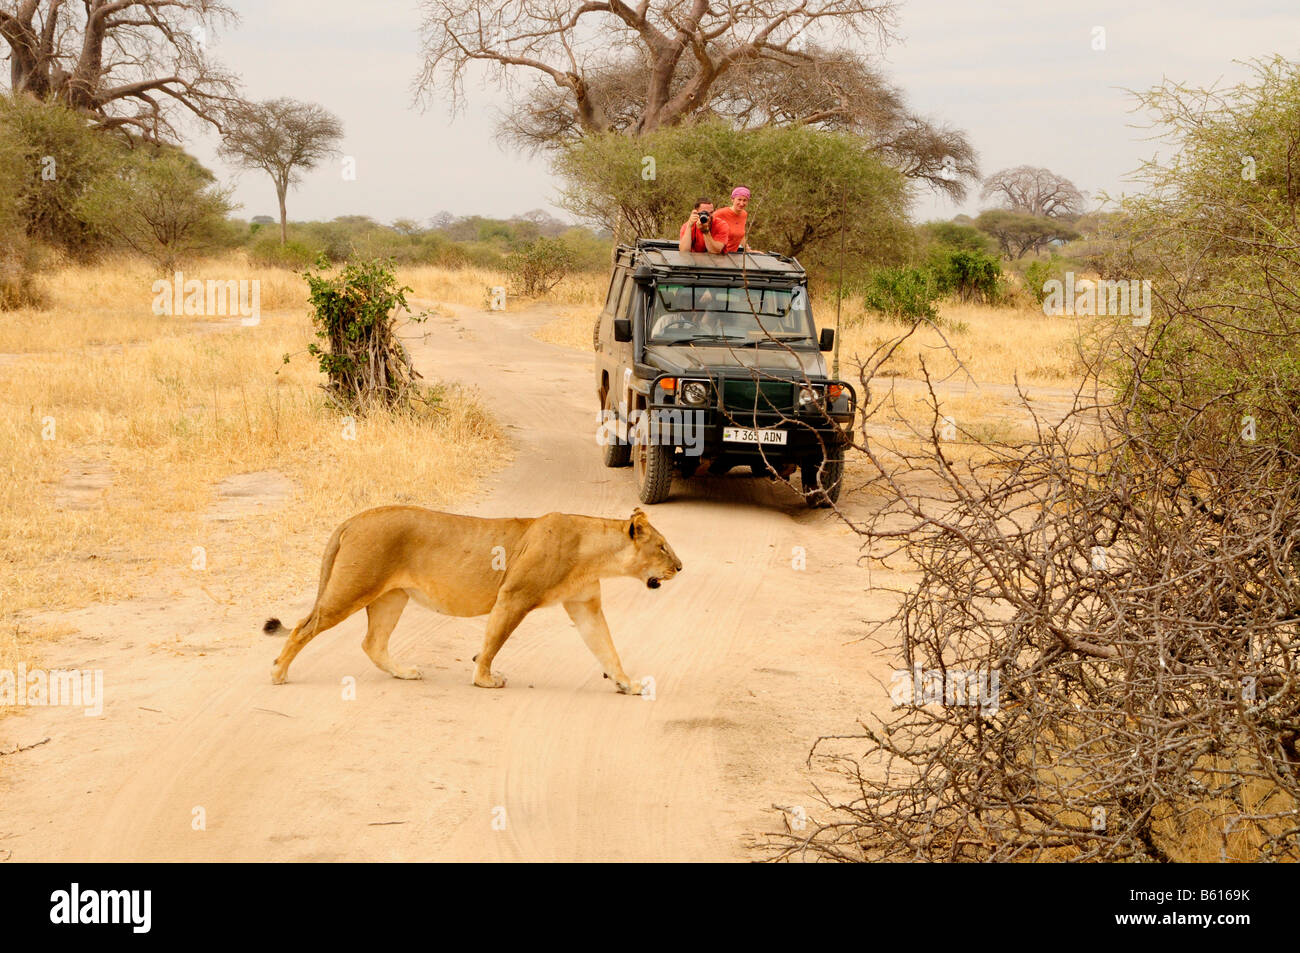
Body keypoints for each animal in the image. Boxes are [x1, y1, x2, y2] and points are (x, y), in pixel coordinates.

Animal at [263, 505, 682, 694]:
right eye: (662, 546)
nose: (680, 566)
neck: (593, 553)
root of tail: (354, 518)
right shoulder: (514, 597)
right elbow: (494, 641)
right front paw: (485, 678)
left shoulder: (585, 606)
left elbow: (606, 647)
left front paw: (627, 684)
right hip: (352, 588)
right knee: (303, 627)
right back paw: (279, 673)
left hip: (391, 597)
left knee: (372, 642)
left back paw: (405, 672)